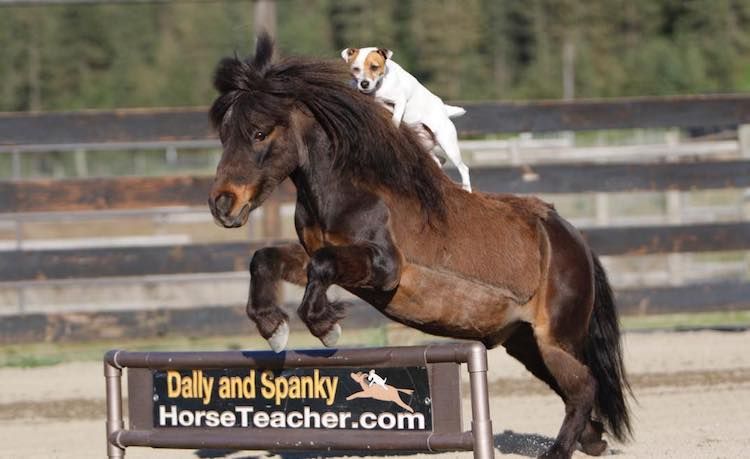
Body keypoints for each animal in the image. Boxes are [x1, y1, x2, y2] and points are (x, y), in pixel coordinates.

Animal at [207, 34, 631, 459]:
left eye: (260, 133)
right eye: (224, 135)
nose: (223, 204)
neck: (352, 190)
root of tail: (573, 239)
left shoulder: (384, 268)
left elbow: (322, 267)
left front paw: (326, 327)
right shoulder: (319, 256)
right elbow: (266, 260)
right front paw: (273, 327)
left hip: (555, 339)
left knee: (583, 387)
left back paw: (560, 450)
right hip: (525, 342)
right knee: (575, 390)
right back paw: (594, 439)